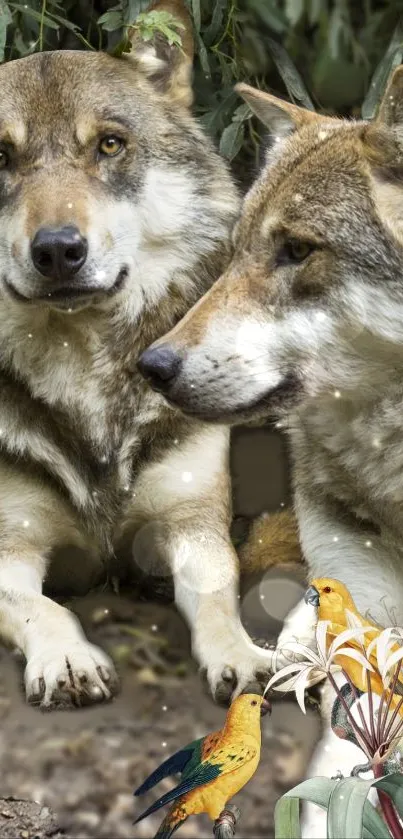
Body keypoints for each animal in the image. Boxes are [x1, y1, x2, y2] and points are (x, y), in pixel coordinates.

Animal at [0, 0, 276, 709]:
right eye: (0, 157)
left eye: (109, 144)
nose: (58, 250)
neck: (85, 377)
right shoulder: (9, 546)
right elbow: (45, 608)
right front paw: (68, 660)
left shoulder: (192, 524)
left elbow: (217, 598)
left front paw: (243, 657)